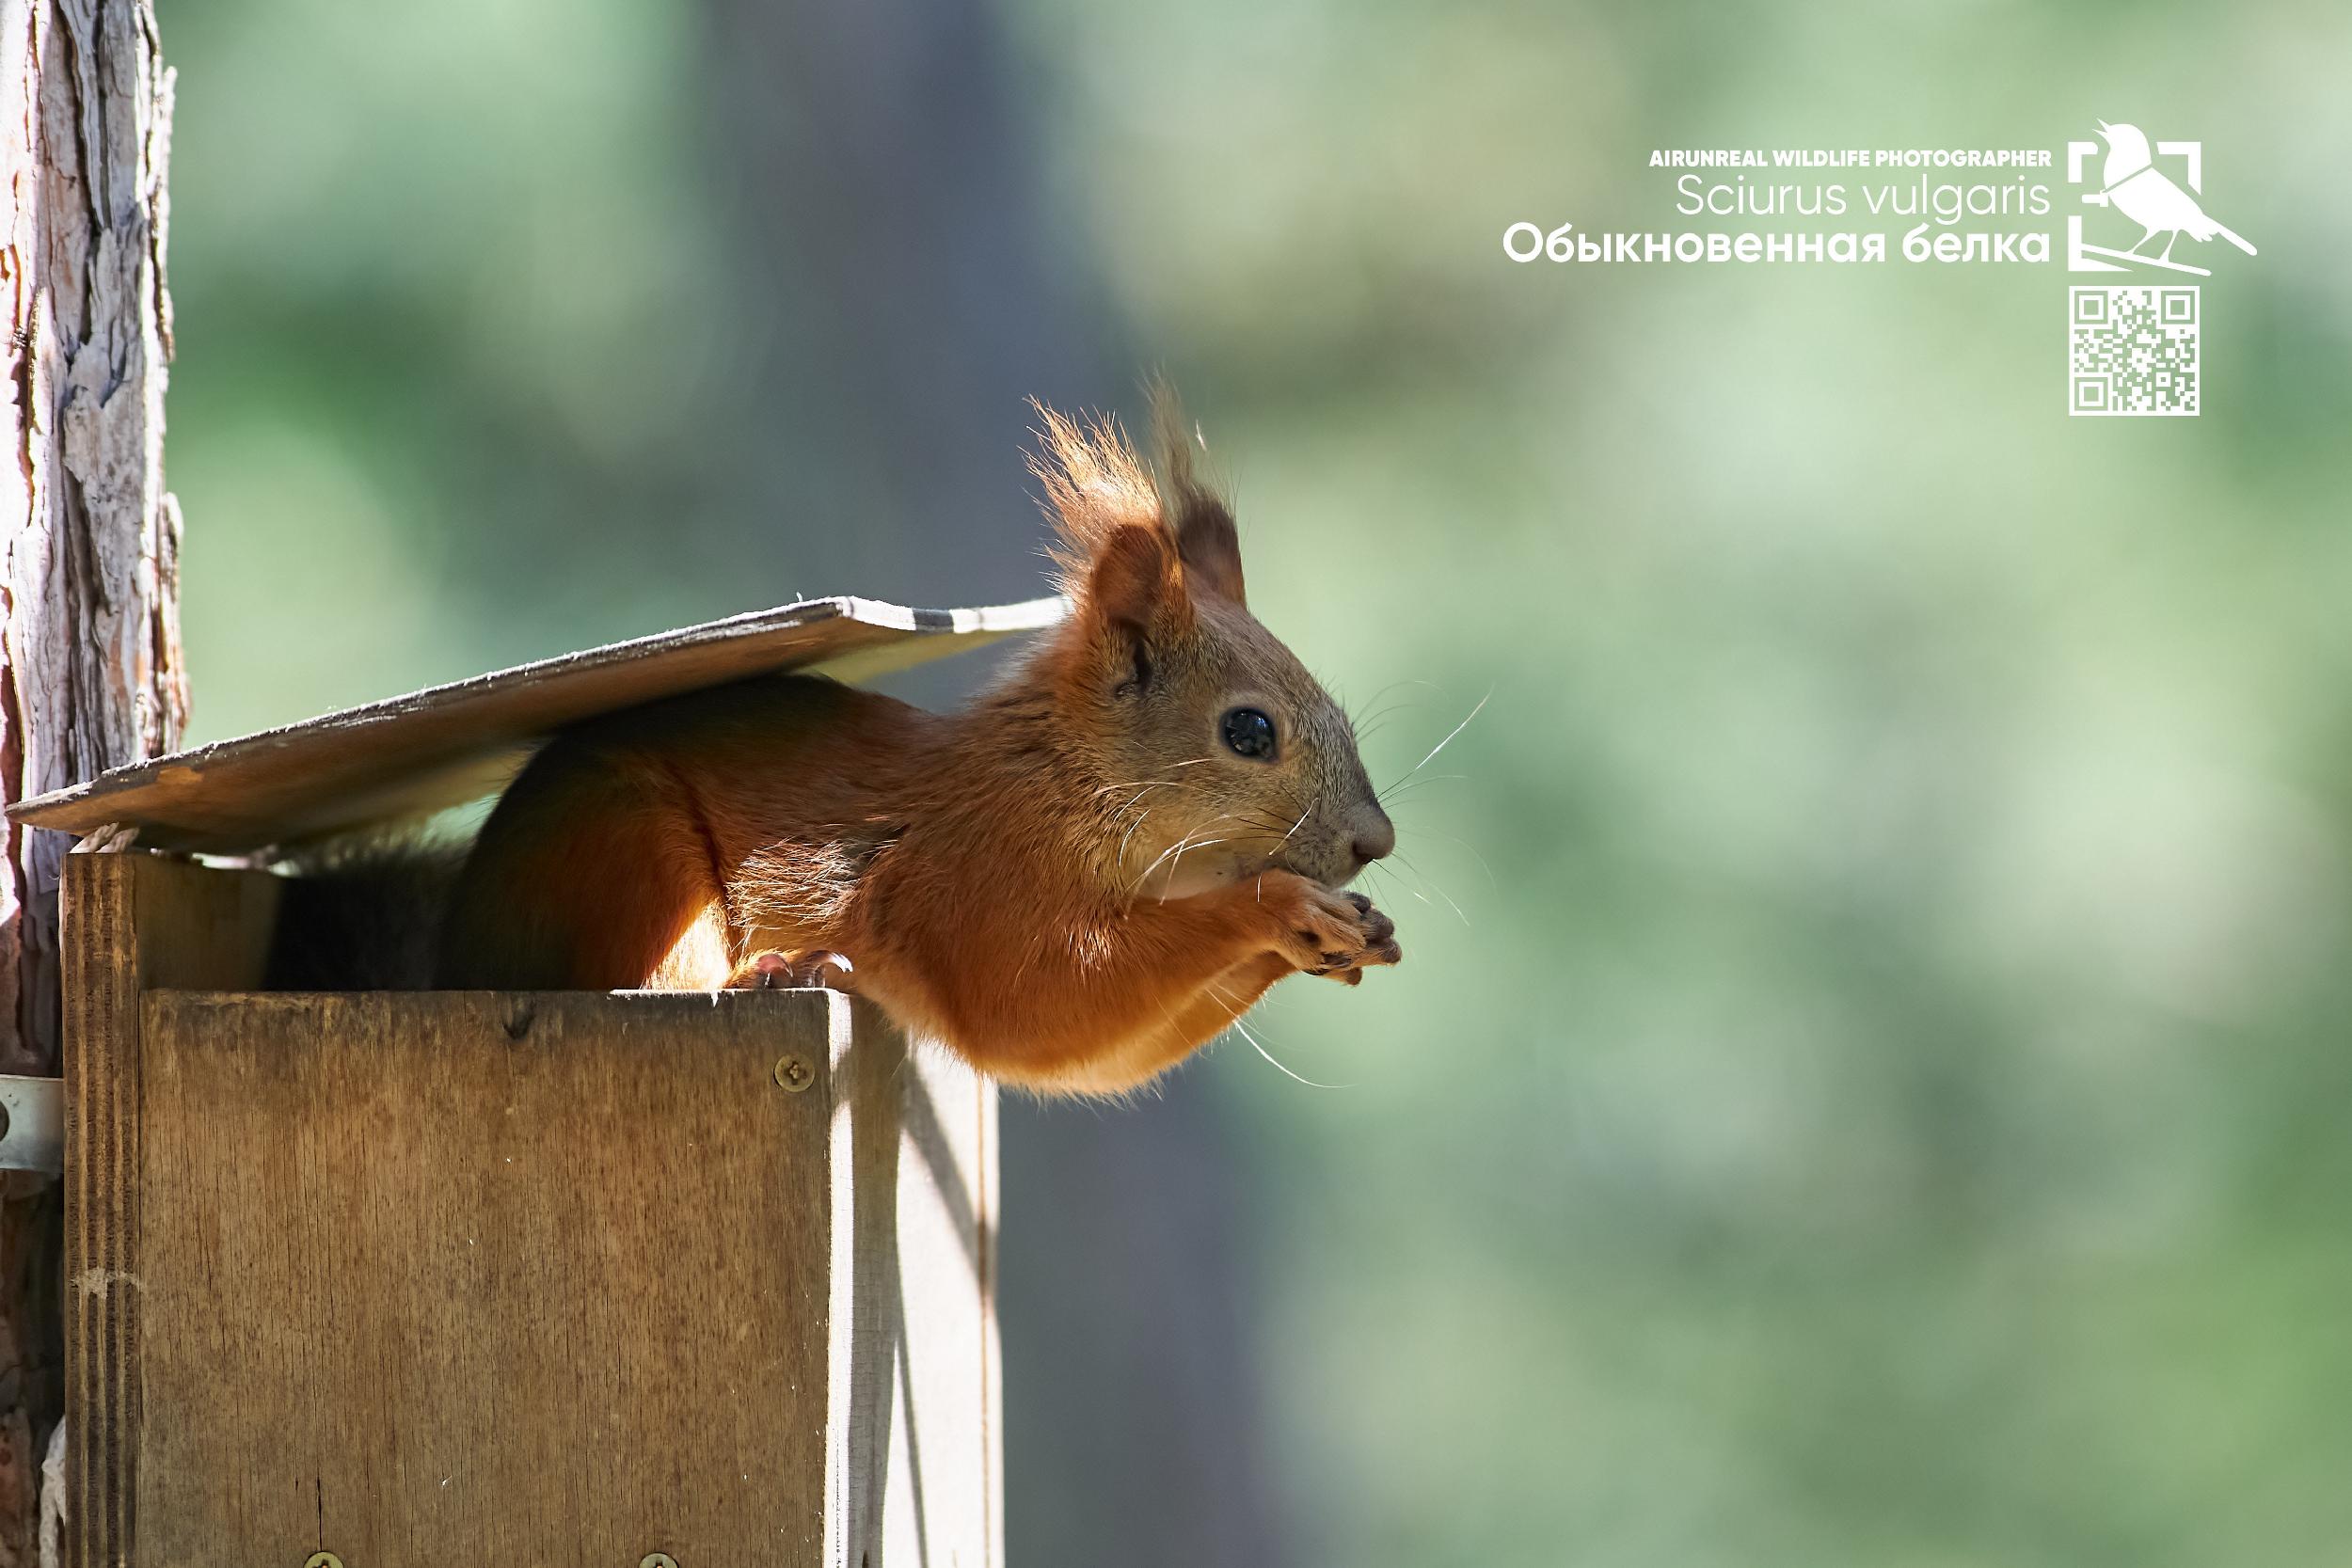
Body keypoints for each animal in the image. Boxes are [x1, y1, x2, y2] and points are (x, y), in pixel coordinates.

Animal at [428, 395, 1400, 1094]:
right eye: (1249, 731)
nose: (1376, 841)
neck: (1063, 780)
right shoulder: (969, 881)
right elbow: (1038, 1007)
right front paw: (1279, 907)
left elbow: (1102, 1052)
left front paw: (1350, 935)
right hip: (629, 854)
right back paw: (775, 971)